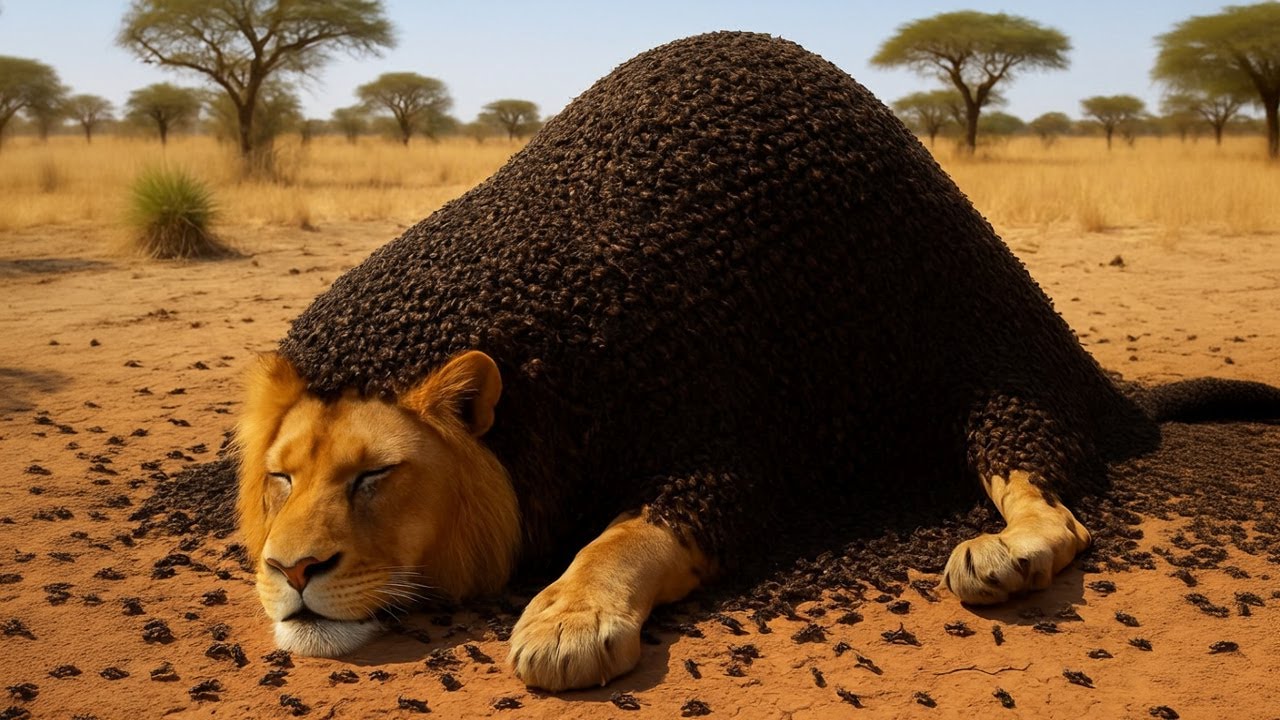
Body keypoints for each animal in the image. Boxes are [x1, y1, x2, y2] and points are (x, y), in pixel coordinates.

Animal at [235, 32, 1280, 692]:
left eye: (378, 476)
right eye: (280, 478)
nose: (291, 571)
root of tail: (1107, 391)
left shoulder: (733, 447)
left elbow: (628, 535)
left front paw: (568, 618)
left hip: (1000, 388)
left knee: (1052, 499)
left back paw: (1005, 551)